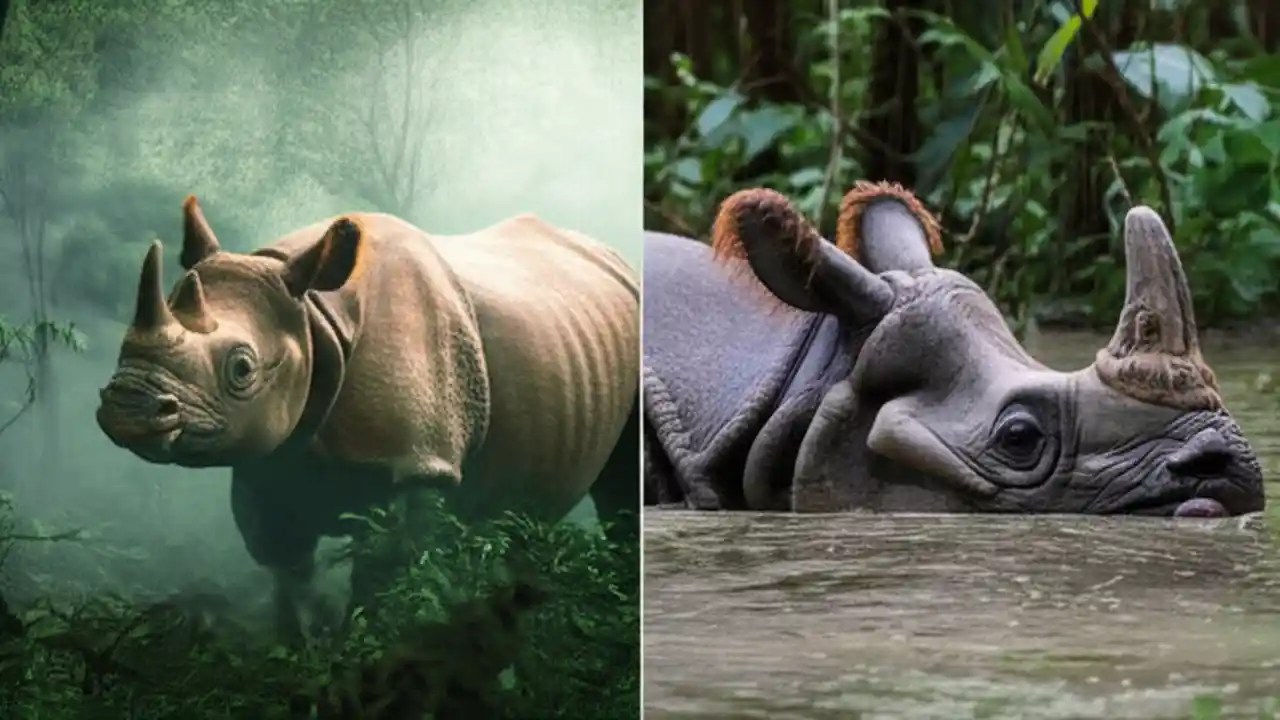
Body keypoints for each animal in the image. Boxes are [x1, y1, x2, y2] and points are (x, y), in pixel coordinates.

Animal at [96, 196, 639, 639]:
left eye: (242, 368)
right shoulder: (271, 464)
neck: (313, 315)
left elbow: (382, 576)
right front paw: (299, 652)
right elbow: (288, 572)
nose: (128, 405)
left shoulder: (419, 463)